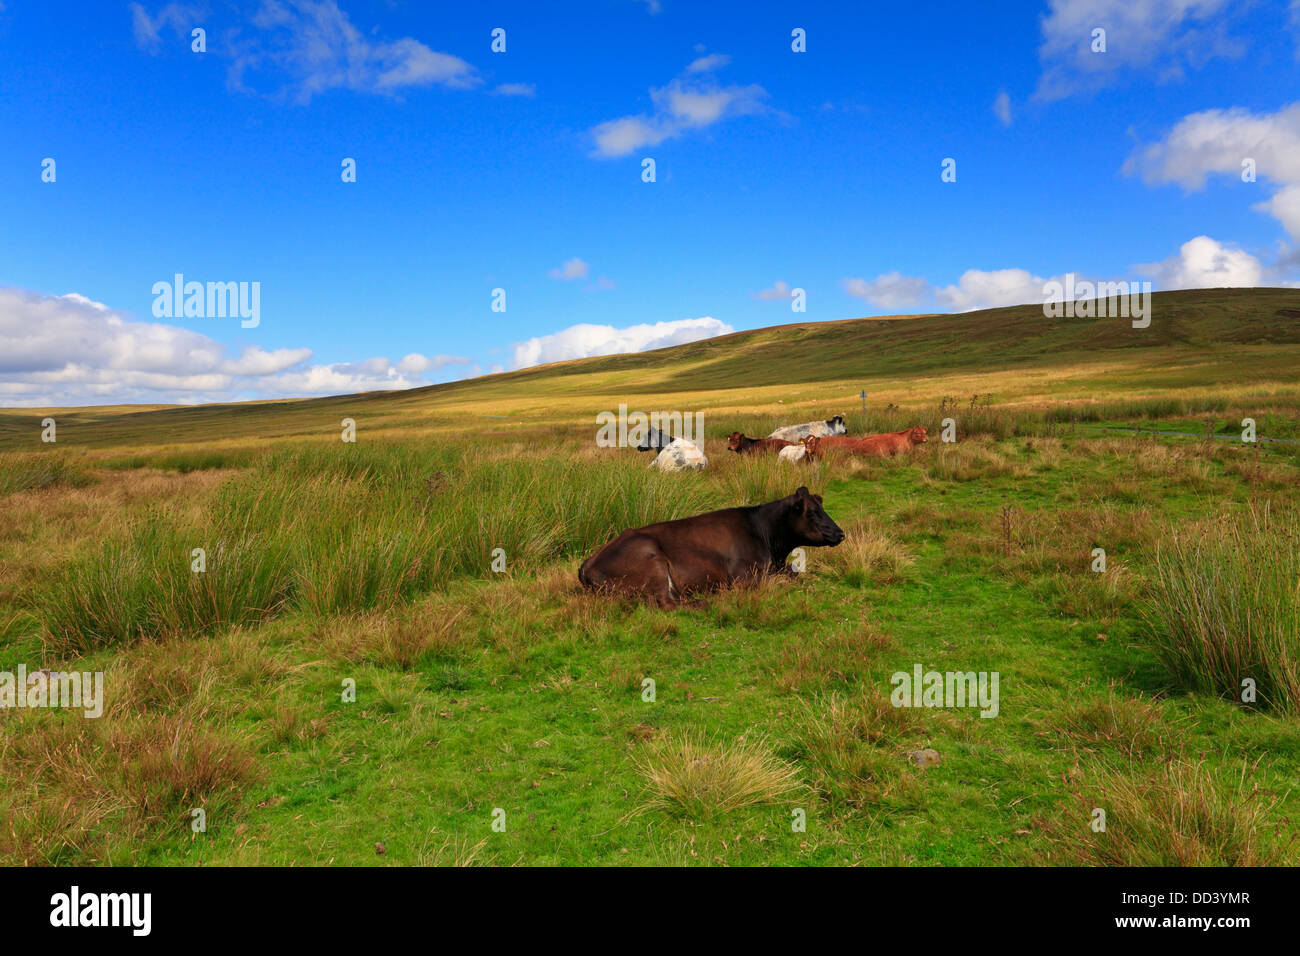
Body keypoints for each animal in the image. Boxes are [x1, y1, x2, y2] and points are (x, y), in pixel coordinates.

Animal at [578, 486, 844, 606]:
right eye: (812, 512)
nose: (840, 533)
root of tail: (587, 563)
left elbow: (794, 573)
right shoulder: (743, 578)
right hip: (652, 561)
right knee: (667, 603)